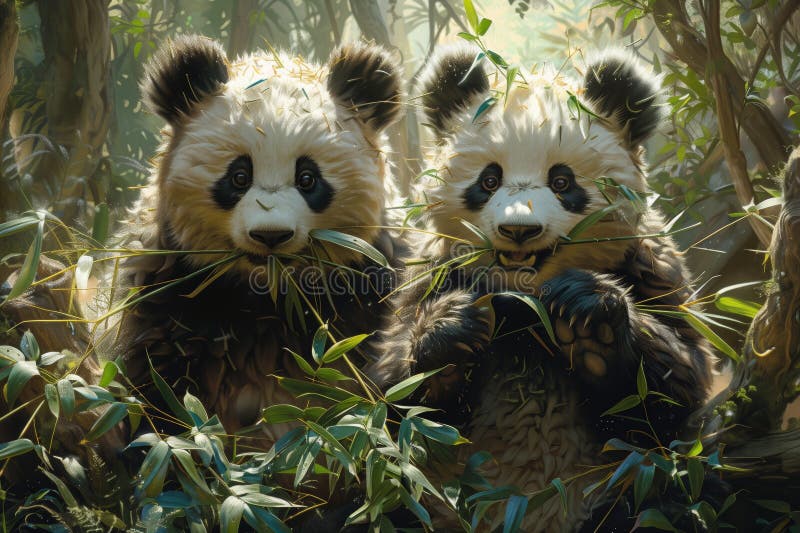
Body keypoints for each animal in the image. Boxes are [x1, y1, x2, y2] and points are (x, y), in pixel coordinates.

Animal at [111, 35, 404, 447]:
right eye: (238, 176)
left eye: (308, 178)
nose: (271, 235)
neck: (268, 297)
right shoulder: (166, 291)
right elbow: (156, 386)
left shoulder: (371, 282)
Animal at [370, 46, 715, 531]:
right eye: (489, 180)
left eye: (562, 181)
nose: (519, 230)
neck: (522, 303)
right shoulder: (433, 272)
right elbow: (396, 398)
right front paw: (453, 329)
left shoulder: (649, 267)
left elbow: (677, 382)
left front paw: (589, 321)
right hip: (419, 504)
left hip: (629, 488)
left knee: (668, 503)